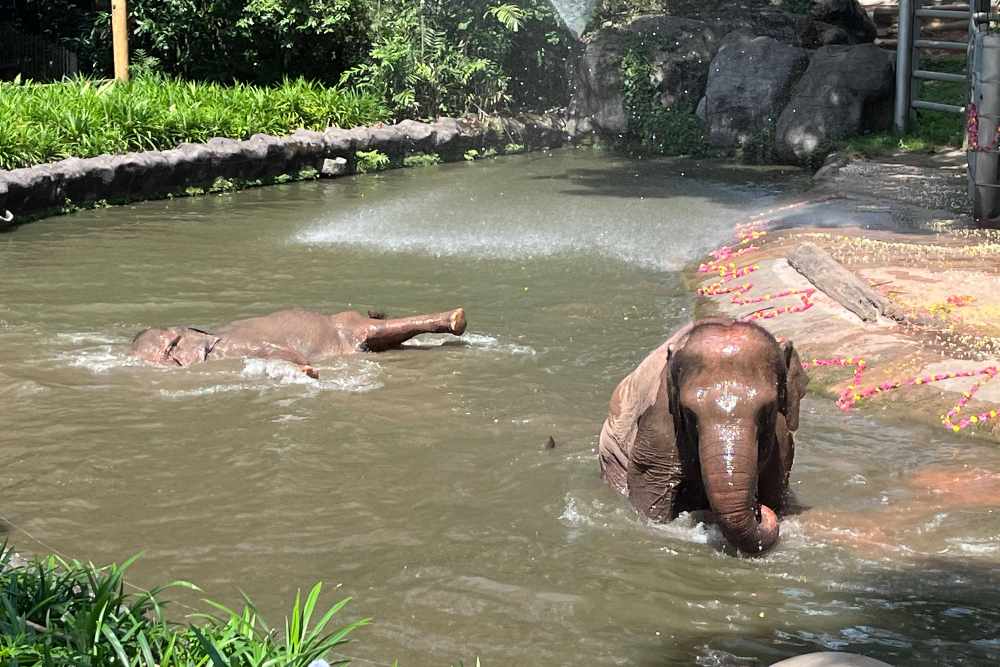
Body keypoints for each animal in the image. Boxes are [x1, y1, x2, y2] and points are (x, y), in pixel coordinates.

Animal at [599, 318, 809, 555]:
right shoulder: (659, 423)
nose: (758, 510)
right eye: (689, 412)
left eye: (768, 409)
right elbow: (651, 485)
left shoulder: (781, 443)